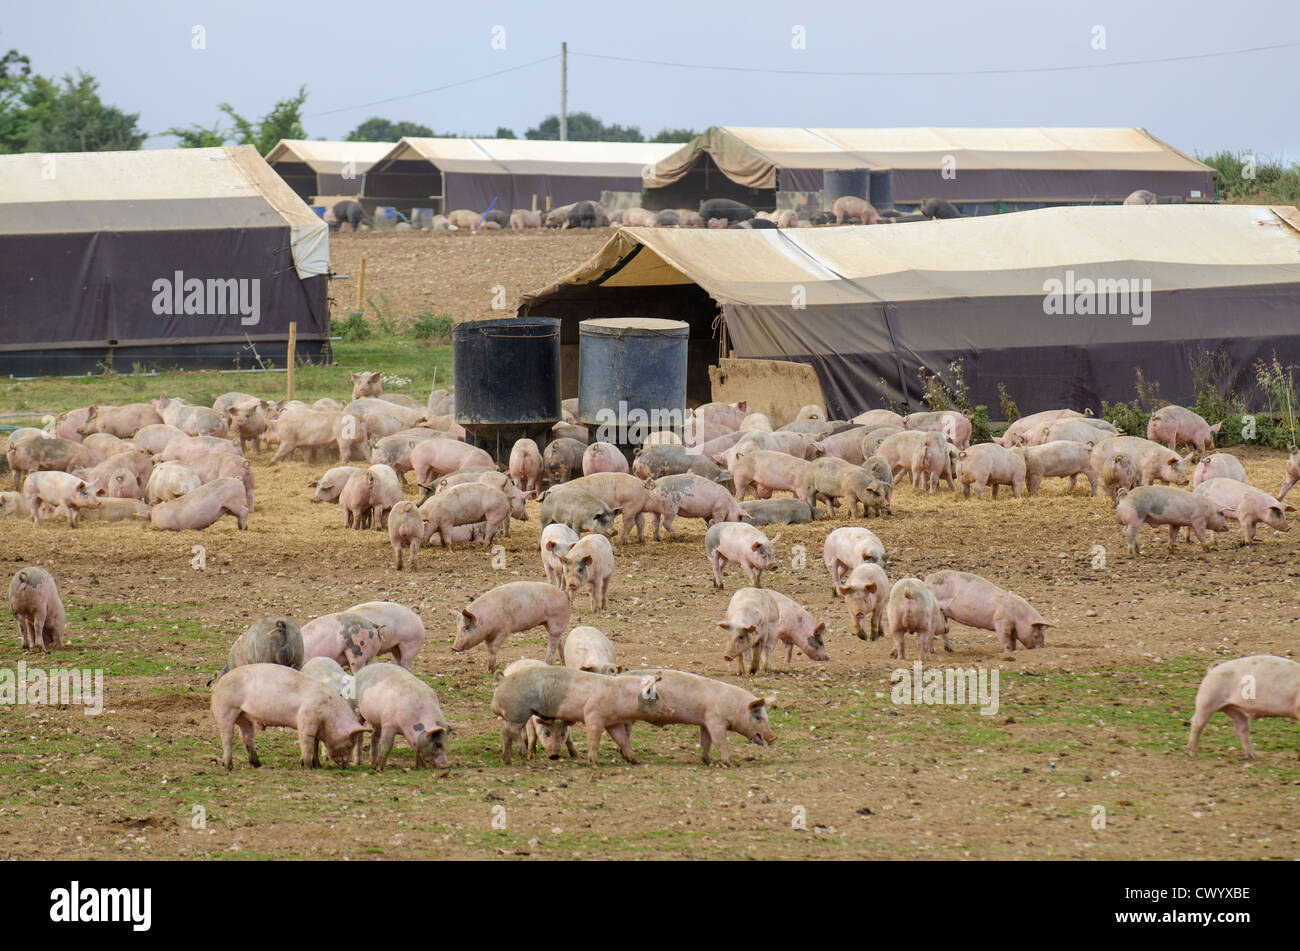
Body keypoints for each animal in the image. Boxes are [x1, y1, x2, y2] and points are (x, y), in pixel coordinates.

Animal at [210, 664, 366, 770]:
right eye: (350, 744)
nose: (345, 766)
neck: (331, 714)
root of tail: (219, 682)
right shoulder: (306, 719)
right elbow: (307, 741)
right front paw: (308, 766)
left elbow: (315, 744)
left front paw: (318, 765)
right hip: (225, 709)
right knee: (227, 736)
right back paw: (228, 766)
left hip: (244, 716)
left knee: (246, 737)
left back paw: (257, 764)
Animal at [491, 664, 661, 764]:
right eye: (653, 694)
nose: (554, 756)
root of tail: (502, 680)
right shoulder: (593, 714)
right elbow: (593, 738)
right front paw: (594, 763)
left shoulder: (612, 722)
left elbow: (621, 739)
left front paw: (634, 760)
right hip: (518, 712)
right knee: (511, 731)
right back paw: (521, 753)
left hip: (510, 715)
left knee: (505, 732)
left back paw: (507, 759)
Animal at [619, 667, 776, 766]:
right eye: (758, 717)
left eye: (767, 716)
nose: (774, 737)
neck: (734, 707)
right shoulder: (716, 721)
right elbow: (720, 742)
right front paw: (728, 763)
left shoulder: (704, 723)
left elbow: (706, 742)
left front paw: (708, 761)